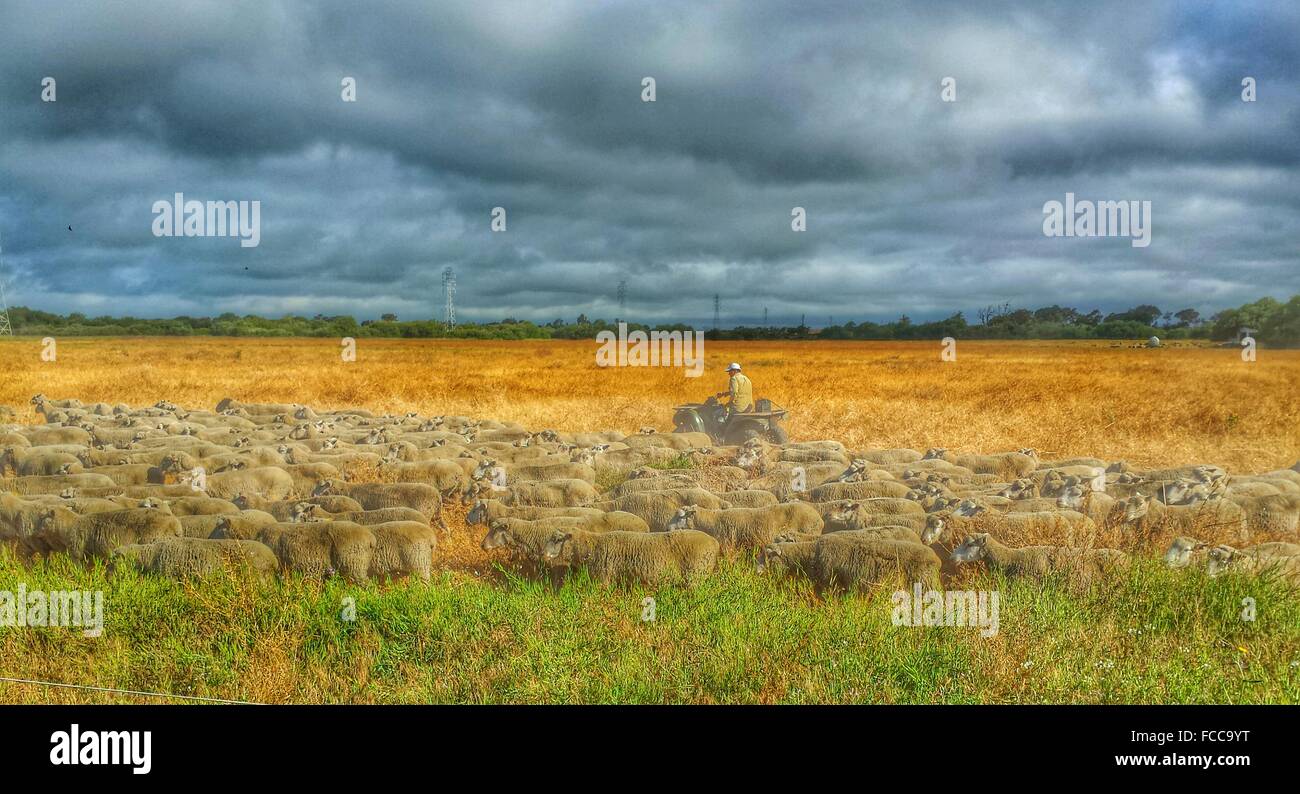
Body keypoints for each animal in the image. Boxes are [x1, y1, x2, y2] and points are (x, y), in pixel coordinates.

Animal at [542, 528, 719, 587]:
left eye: (557, 540)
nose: (542, 555)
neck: (591, 547)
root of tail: (714, 542)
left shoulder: (603, 579)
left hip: (695, 576)